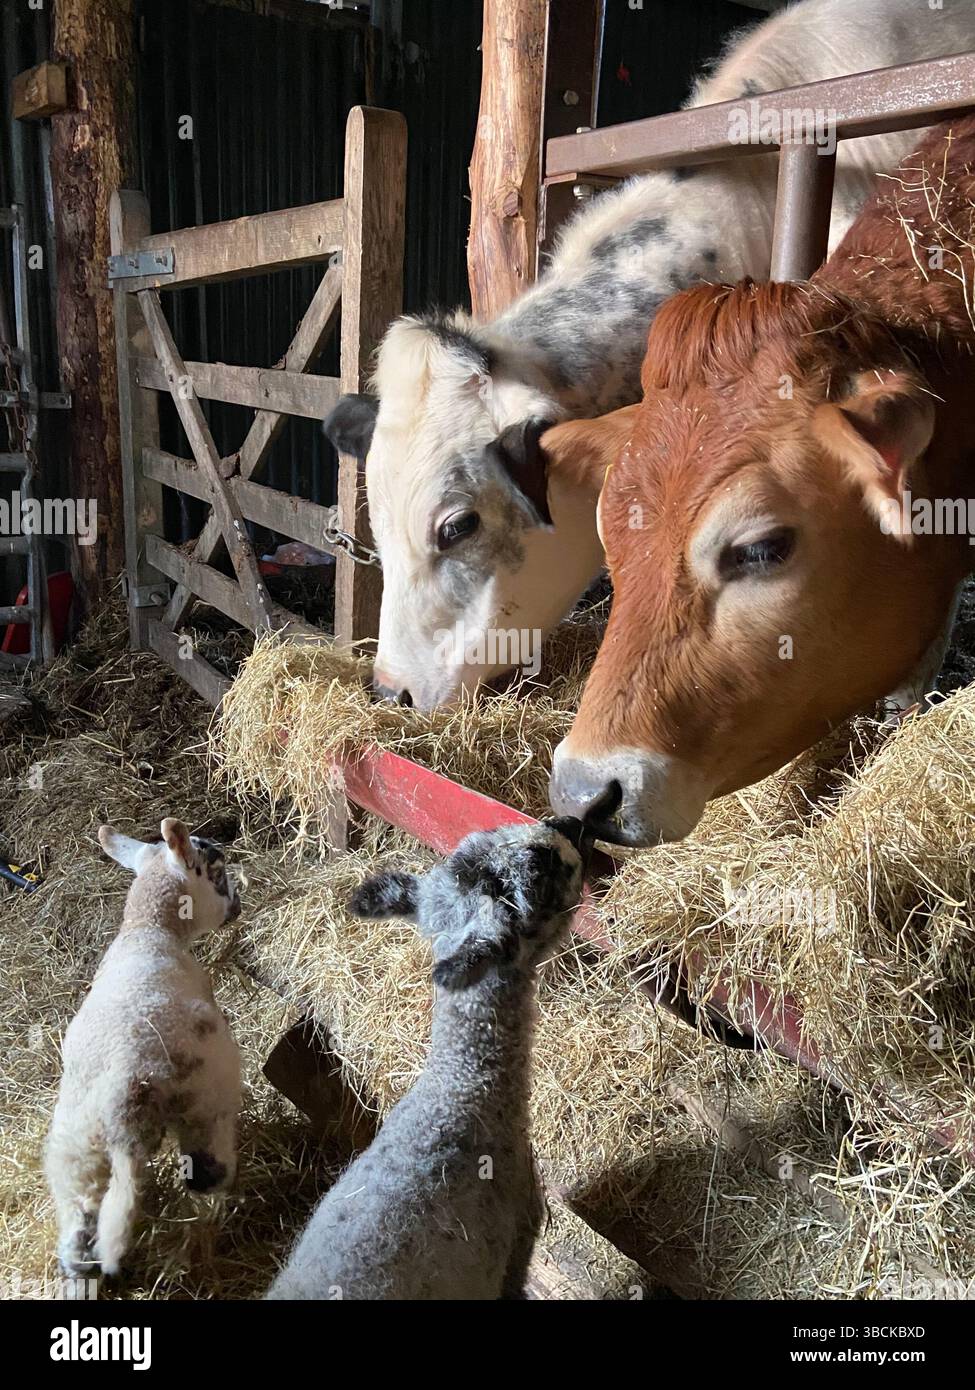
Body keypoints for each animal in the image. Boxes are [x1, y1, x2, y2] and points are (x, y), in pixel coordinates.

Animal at [45, 818, 242, 1280]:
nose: (238, 905)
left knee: (81, 1231)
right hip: (203, 1102)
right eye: (218, 871)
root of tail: (122, 1103)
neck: (147, 929)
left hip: (76, 1154)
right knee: (205, 1172)